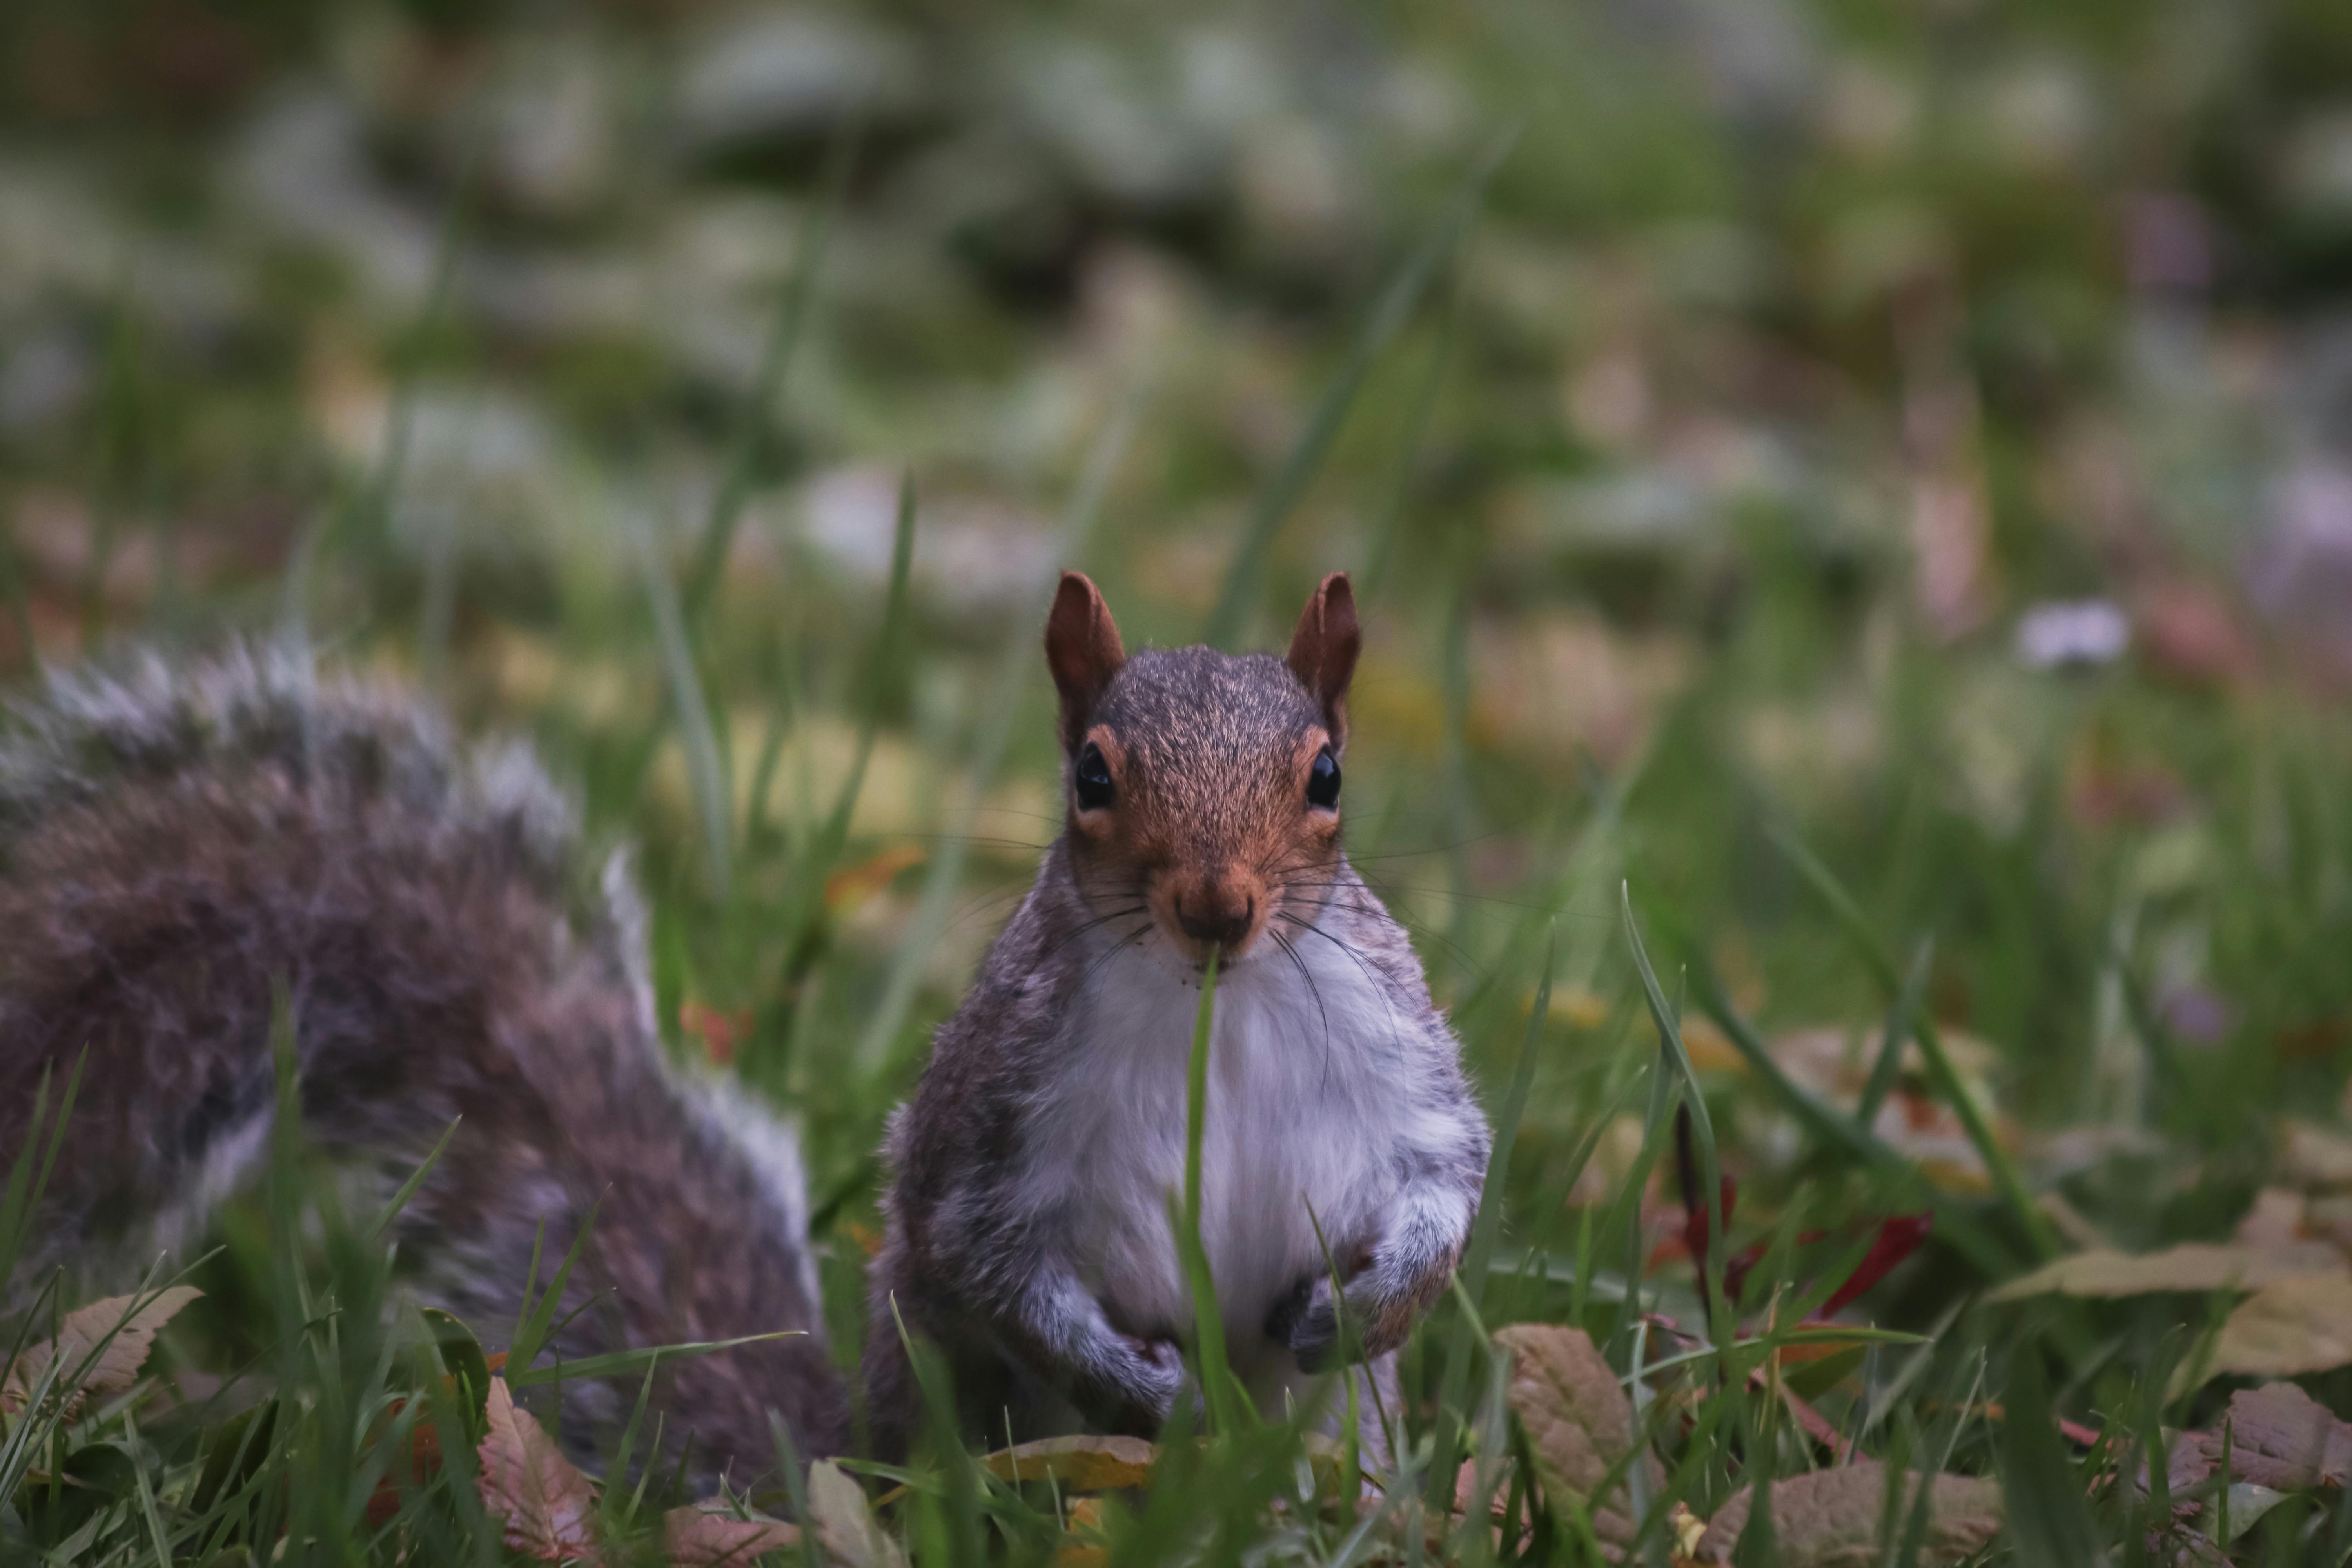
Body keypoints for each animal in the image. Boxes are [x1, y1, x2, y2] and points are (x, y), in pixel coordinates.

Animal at [861, 571, 1491, 1463]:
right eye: (1092, 776)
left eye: (1327, 776)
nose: (1217, 908)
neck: (1216, 1007)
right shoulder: (989, 1129)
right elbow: (992, 1268)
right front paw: (1157, 1398)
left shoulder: (1402, 1061)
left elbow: (1448, 1176)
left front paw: (1359, 1312)